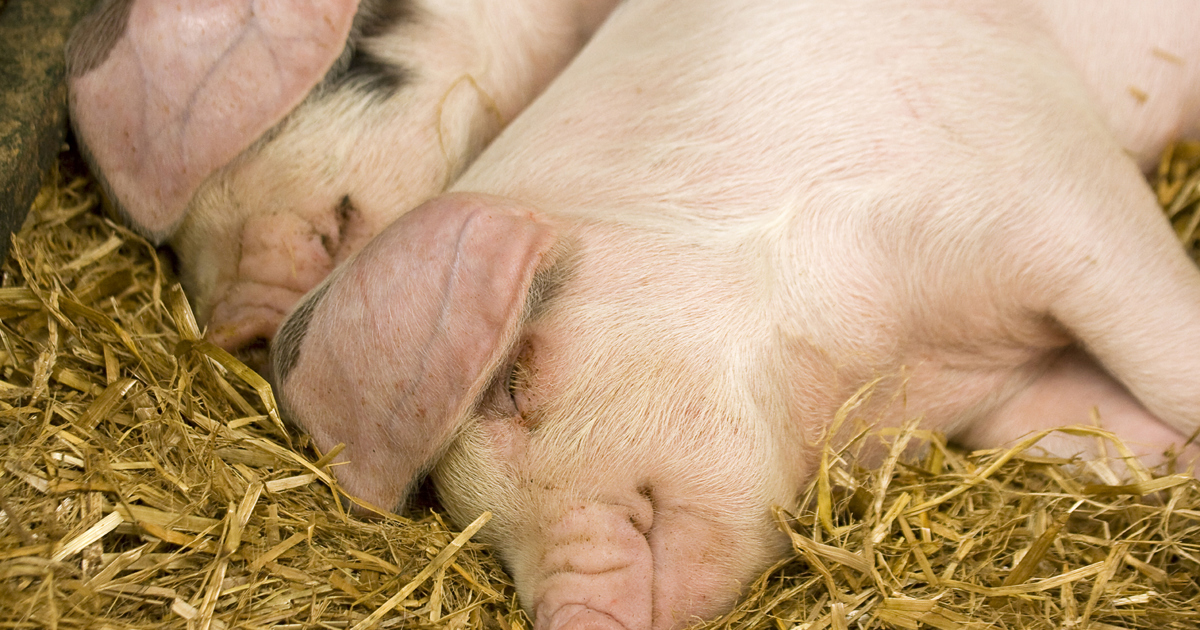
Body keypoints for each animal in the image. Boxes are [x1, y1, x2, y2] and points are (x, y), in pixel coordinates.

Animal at [272, 0, 1200, 628]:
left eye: (517, 384)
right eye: (456, 508)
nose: (567, 615)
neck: (887, 367)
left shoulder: (1054, 205)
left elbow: (1170, 355)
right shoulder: (1000, 391)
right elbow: (1096, 427)